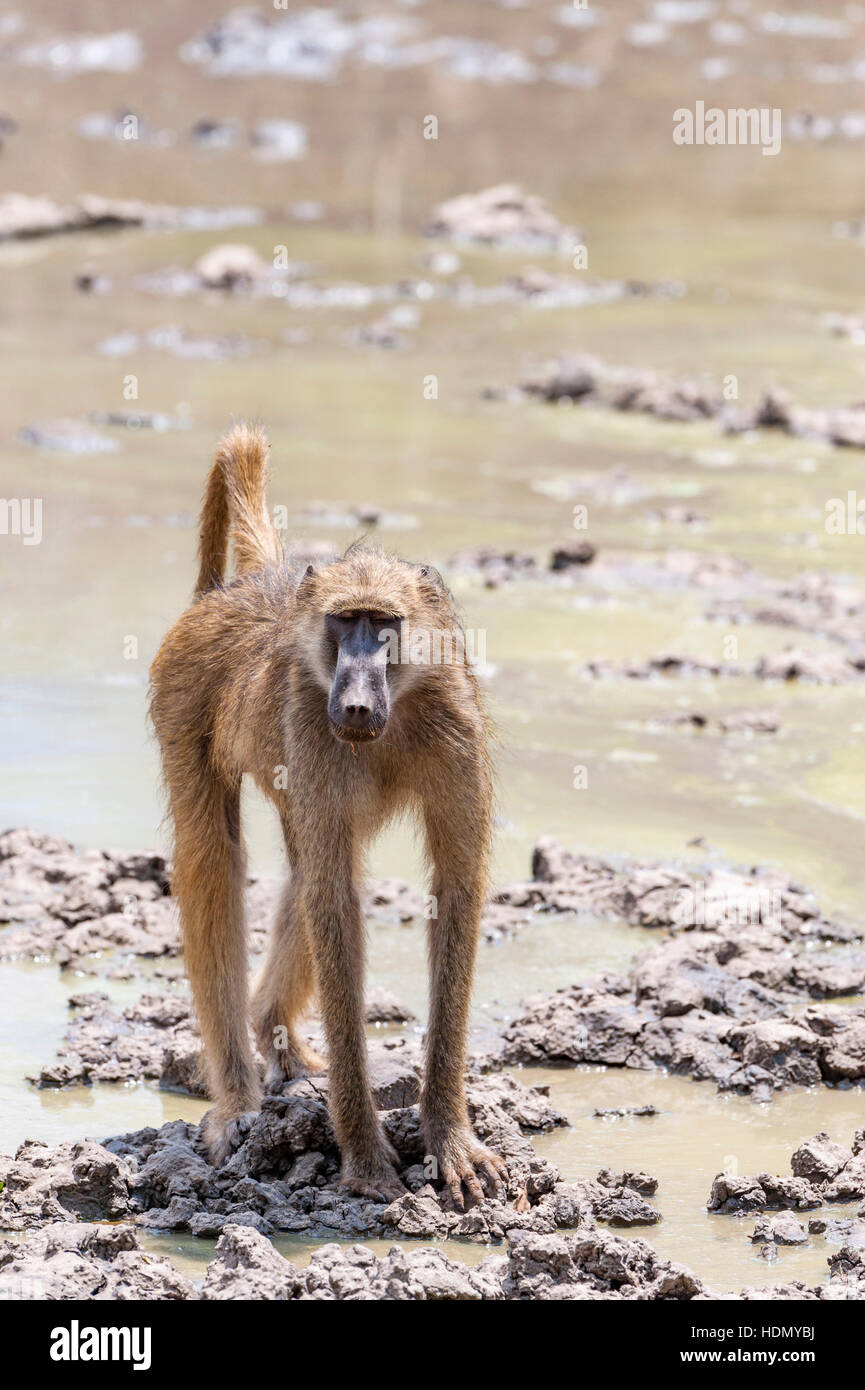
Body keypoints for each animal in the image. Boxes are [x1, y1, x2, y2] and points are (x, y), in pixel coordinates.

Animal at [149, 424, 508, 1208]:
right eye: (344, 623)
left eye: (383, 626)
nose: (355, 704)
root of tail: (246, 586)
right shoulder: (311, 730)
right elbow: (335, 907)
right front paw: (366, 1156)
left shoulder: (454, 725)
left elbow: (454, 893)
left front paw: (448, 1136)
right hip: (183, 695)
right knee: (215, 863)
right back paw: (239, 1100)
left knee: (303, 873)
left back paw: (274, 1037)